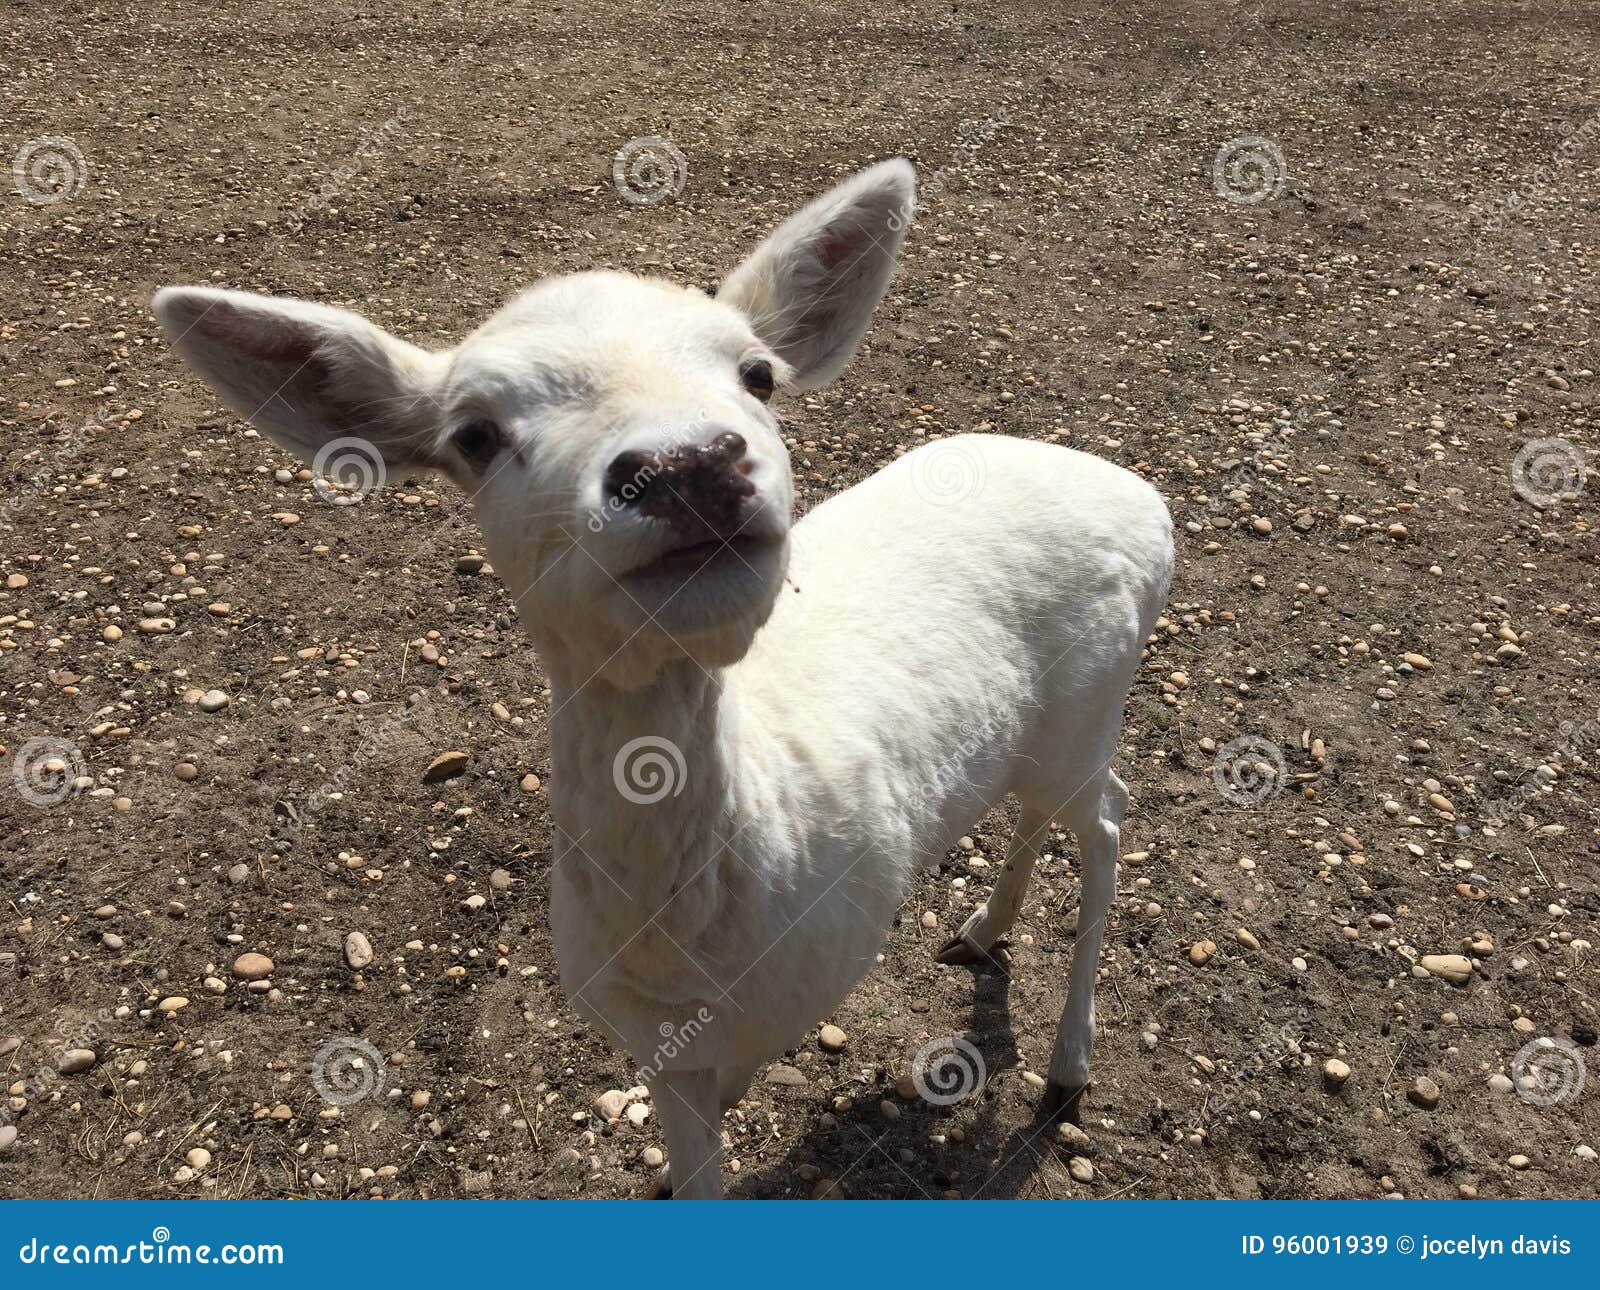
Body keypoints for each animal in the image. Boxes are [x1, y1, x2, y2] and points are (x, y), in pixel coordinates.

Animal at [153, 158, 1174, 1198]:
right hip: (1044, 731)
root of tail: (1142, 496)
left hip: (1096, 700)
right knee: (1043, 809)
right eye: (473, 435)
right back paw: (981, 927)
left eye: (758, 373)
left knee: (1109, 817)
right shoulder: (666, 1047)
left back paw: (1068, 1068)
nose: (684, 465)